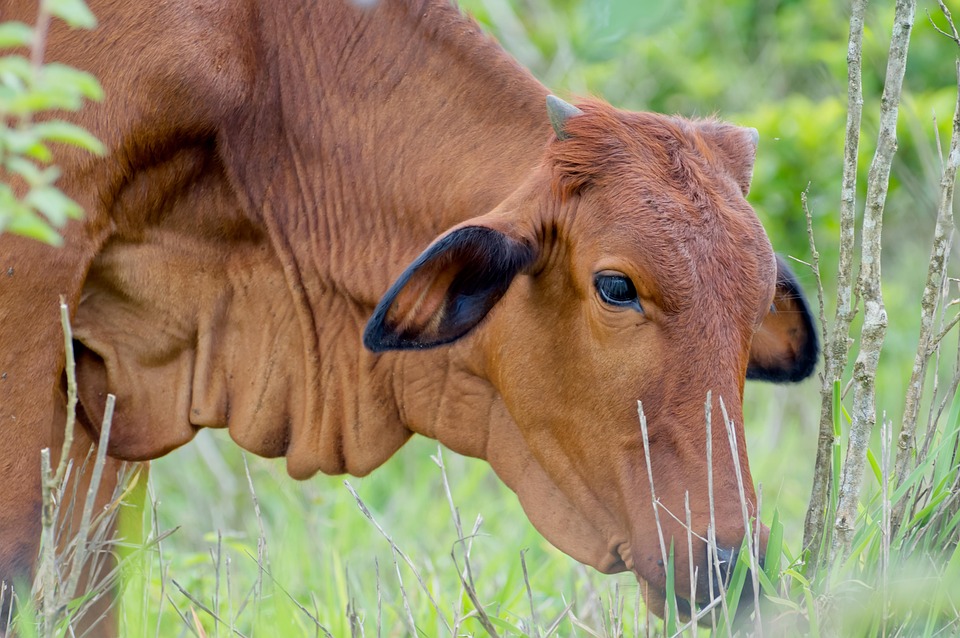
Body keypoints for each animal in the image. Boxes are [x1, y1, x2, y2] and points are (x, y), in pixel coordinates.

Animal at [0, 0, 817, 632]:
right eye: (617, 286)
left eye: (755, 307)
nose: (731, 567)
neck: (257, 62)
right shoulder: (34, 266)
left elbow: (90, 587)